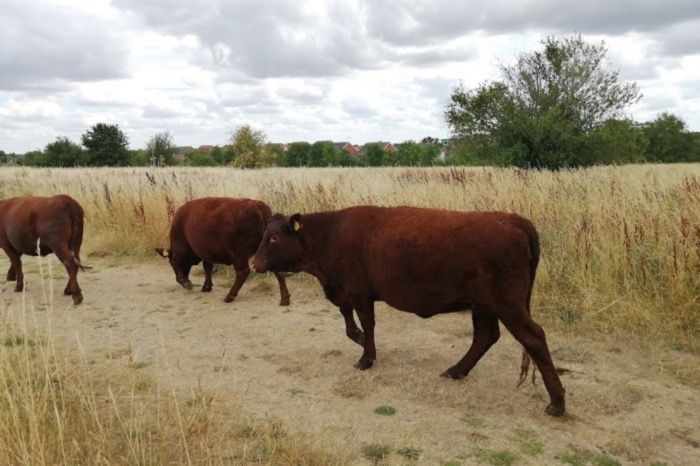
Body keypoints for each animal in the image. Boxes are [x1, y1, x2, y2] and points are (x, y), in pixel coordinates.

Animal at [155, 197, 291, 306]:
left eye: (173, 262)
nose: (180, 281)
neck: (182, 227)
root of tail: (258, 206)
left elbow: (207, 267)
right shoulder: (207, 254)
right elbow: (208, 267)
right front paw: (207, 287)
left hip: (238, 256)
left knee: (242, 273)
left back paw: (229, 296)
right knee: (277, 271)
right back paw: (285, 299)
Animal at [251, 205, 566, 416]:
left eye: (274, 239)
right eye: (264, 234)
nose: (254, 263)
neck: (332, 234)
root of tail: (513, 219)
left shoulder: (358, 292)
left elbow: (366, 324)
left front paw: (366, 358)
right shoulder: (346, 293)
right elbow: (350, 324)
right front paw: (362, 344)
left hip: (507, 304)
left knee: (534, 337)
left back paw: (557, 402)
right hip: (484, 306)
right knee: (485, 336)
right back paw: (456, 370)